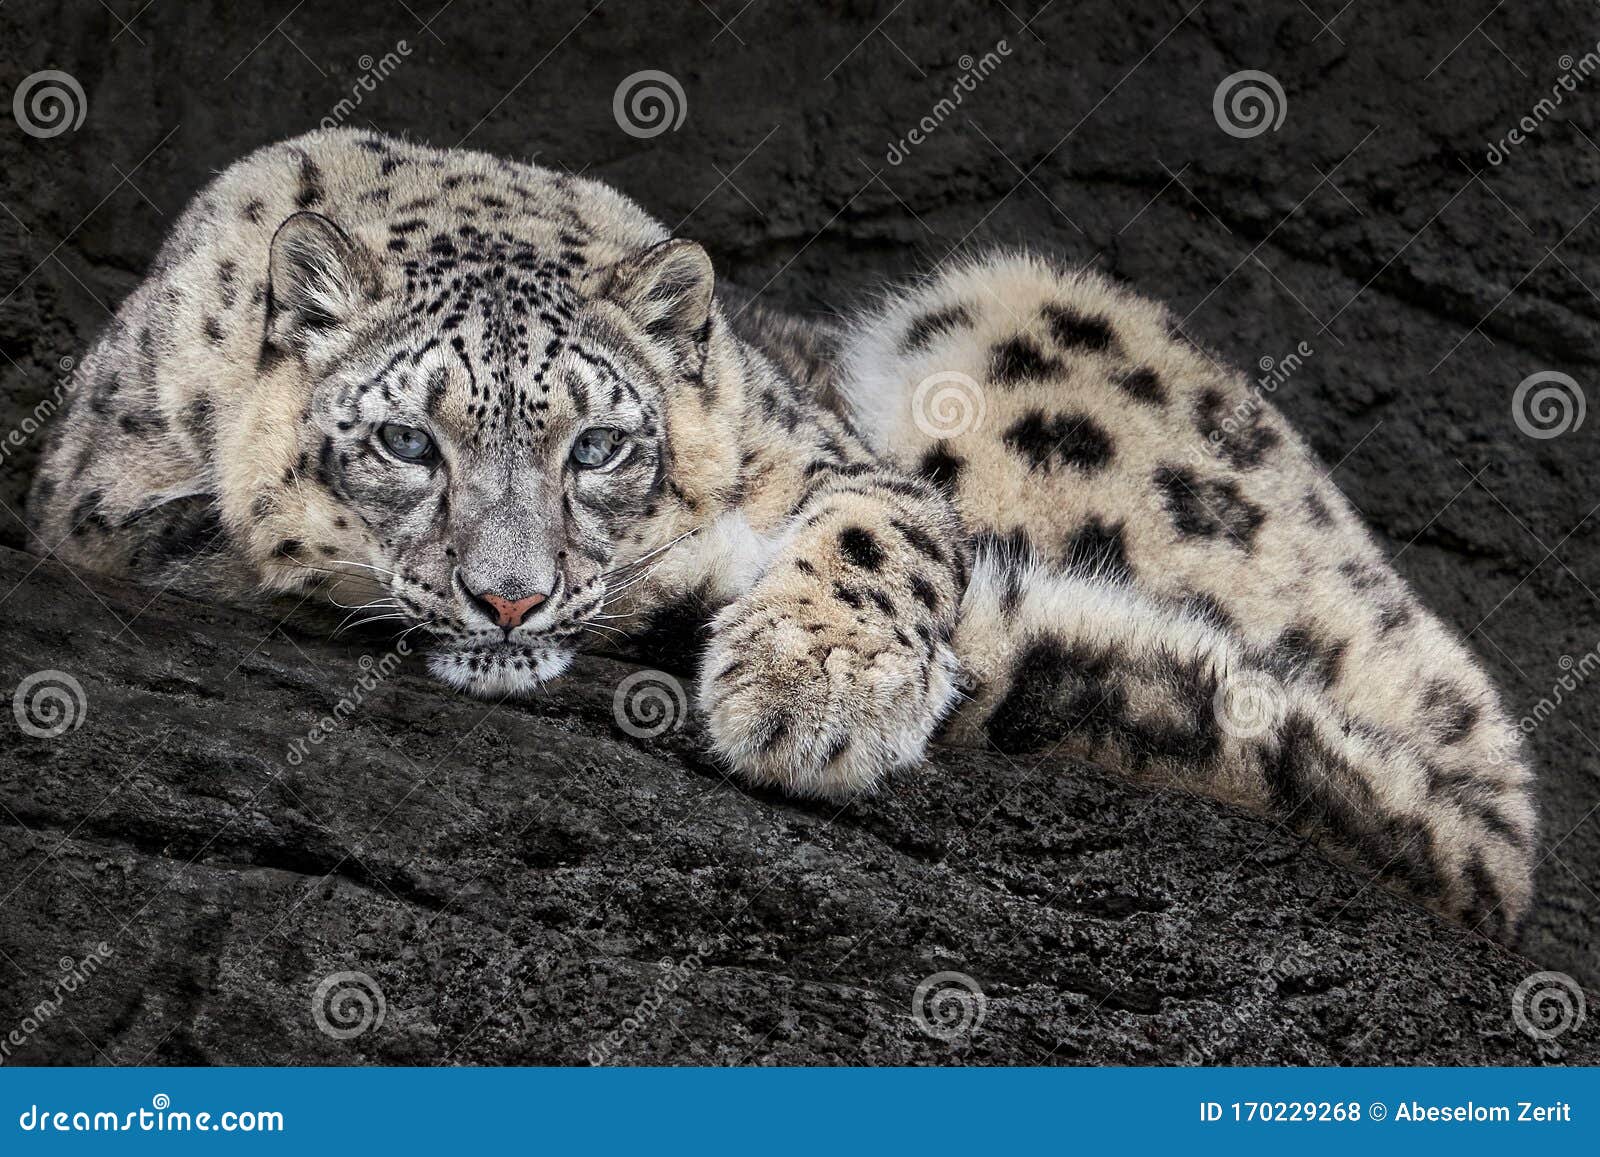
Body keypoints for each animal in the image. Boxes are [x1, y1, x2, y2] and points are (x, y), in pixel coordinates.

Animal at [26, 128, 1536, 936]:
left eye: (600, 445)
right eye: (409, 441)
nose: (512, 598)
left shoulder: (834, 459)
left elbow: (886, 531)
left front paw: (812, 694)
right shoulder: (96, 492)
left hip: (1015, 331)